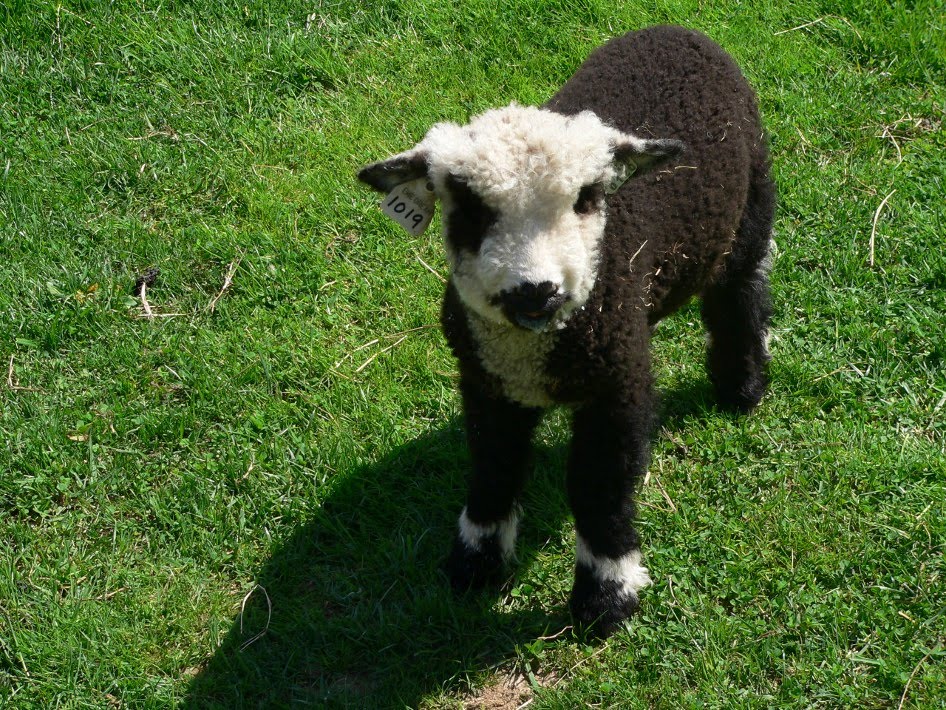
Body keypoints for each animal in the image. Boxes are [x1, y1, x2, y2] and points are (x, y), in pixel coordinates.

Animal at [358, 25, 775, 637]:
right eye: (470, 211)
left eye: (587, 198)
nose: (535, 291)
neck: (530, 349)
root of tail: (676, 30)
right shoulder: (485, 380)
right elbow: (494, 464)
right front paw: (474, 563)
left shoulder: (619, 383)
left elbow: (600, 483)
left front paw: (607, 594)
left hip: (752, 197)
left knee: (739, 290)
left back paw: (741, 386)